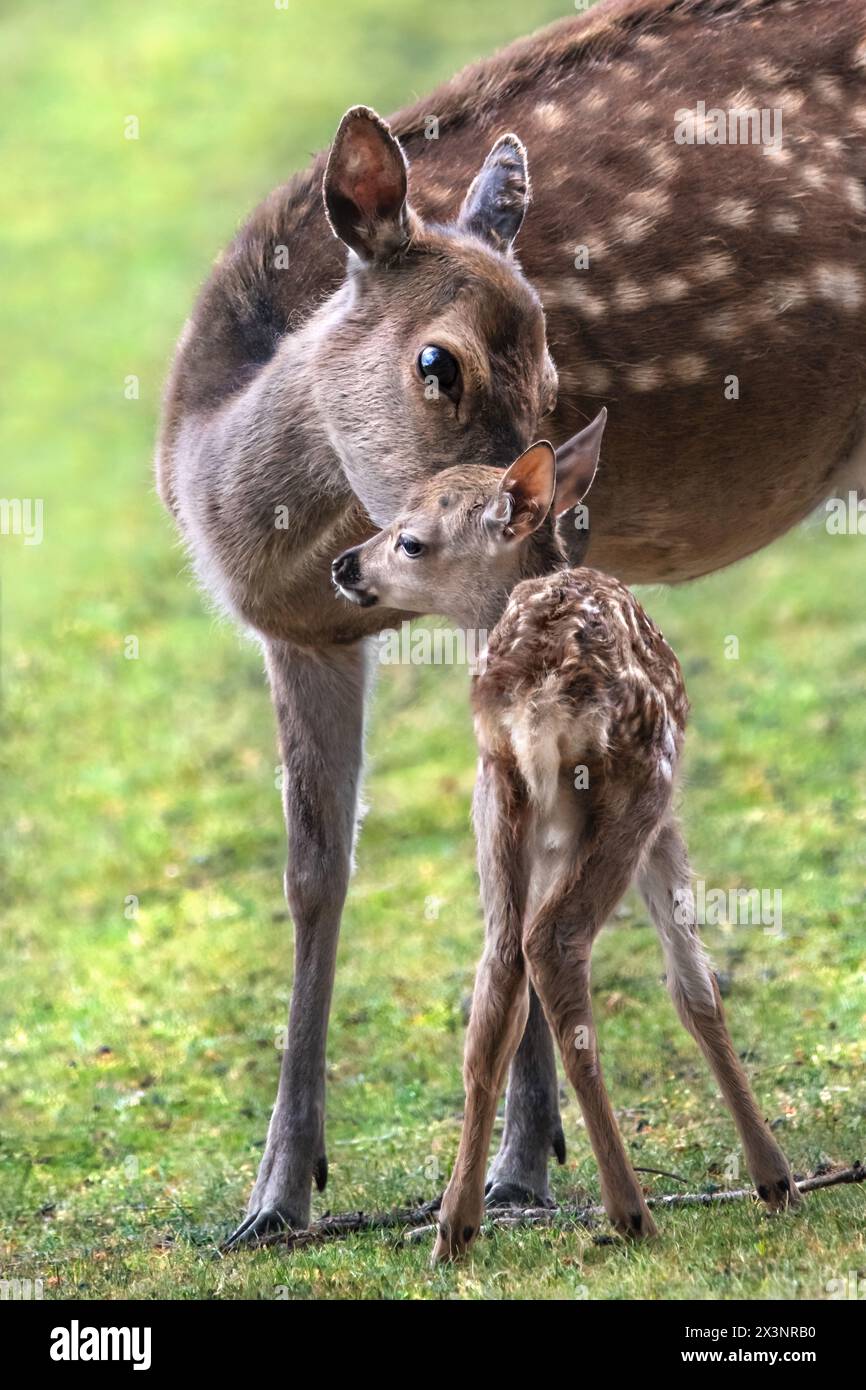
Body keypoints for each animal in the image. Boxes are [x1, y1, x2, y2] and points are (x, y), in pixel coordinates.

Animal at [332, 417, 800, 1258]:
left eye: (411, 540)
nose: (344, 563)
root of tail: (543, 691)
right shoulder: (662, 817)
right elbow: (696, 988)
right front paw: (774, 1179)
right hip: (635, 784)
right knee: (555, 944)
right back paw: (631, 1210)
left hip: (495, 793)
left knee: (498, 969)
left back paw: (455, 1224)